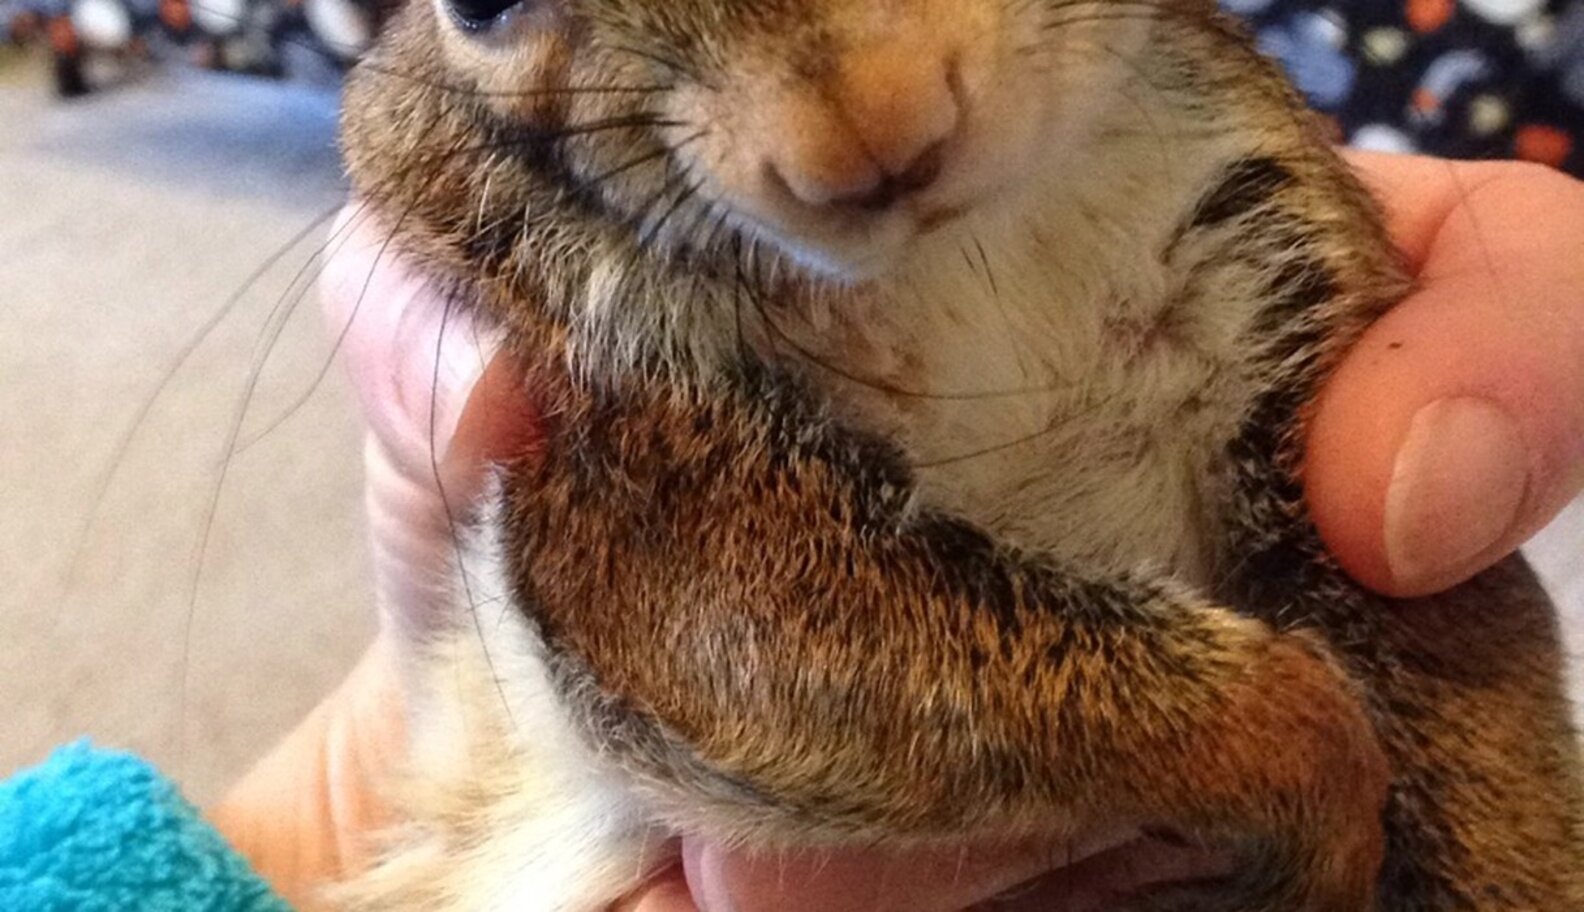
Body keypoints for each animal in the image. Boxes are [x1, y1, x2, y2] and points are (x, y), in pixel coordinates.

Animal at [333, 0, 1584, 908]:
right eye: (476, 5)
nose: (870, 135)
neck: (972, 251)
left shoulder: (1280, 260)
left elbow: (1464, 684)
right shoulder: (630, 466)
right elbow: (748, 628)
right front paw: (1310, 772)